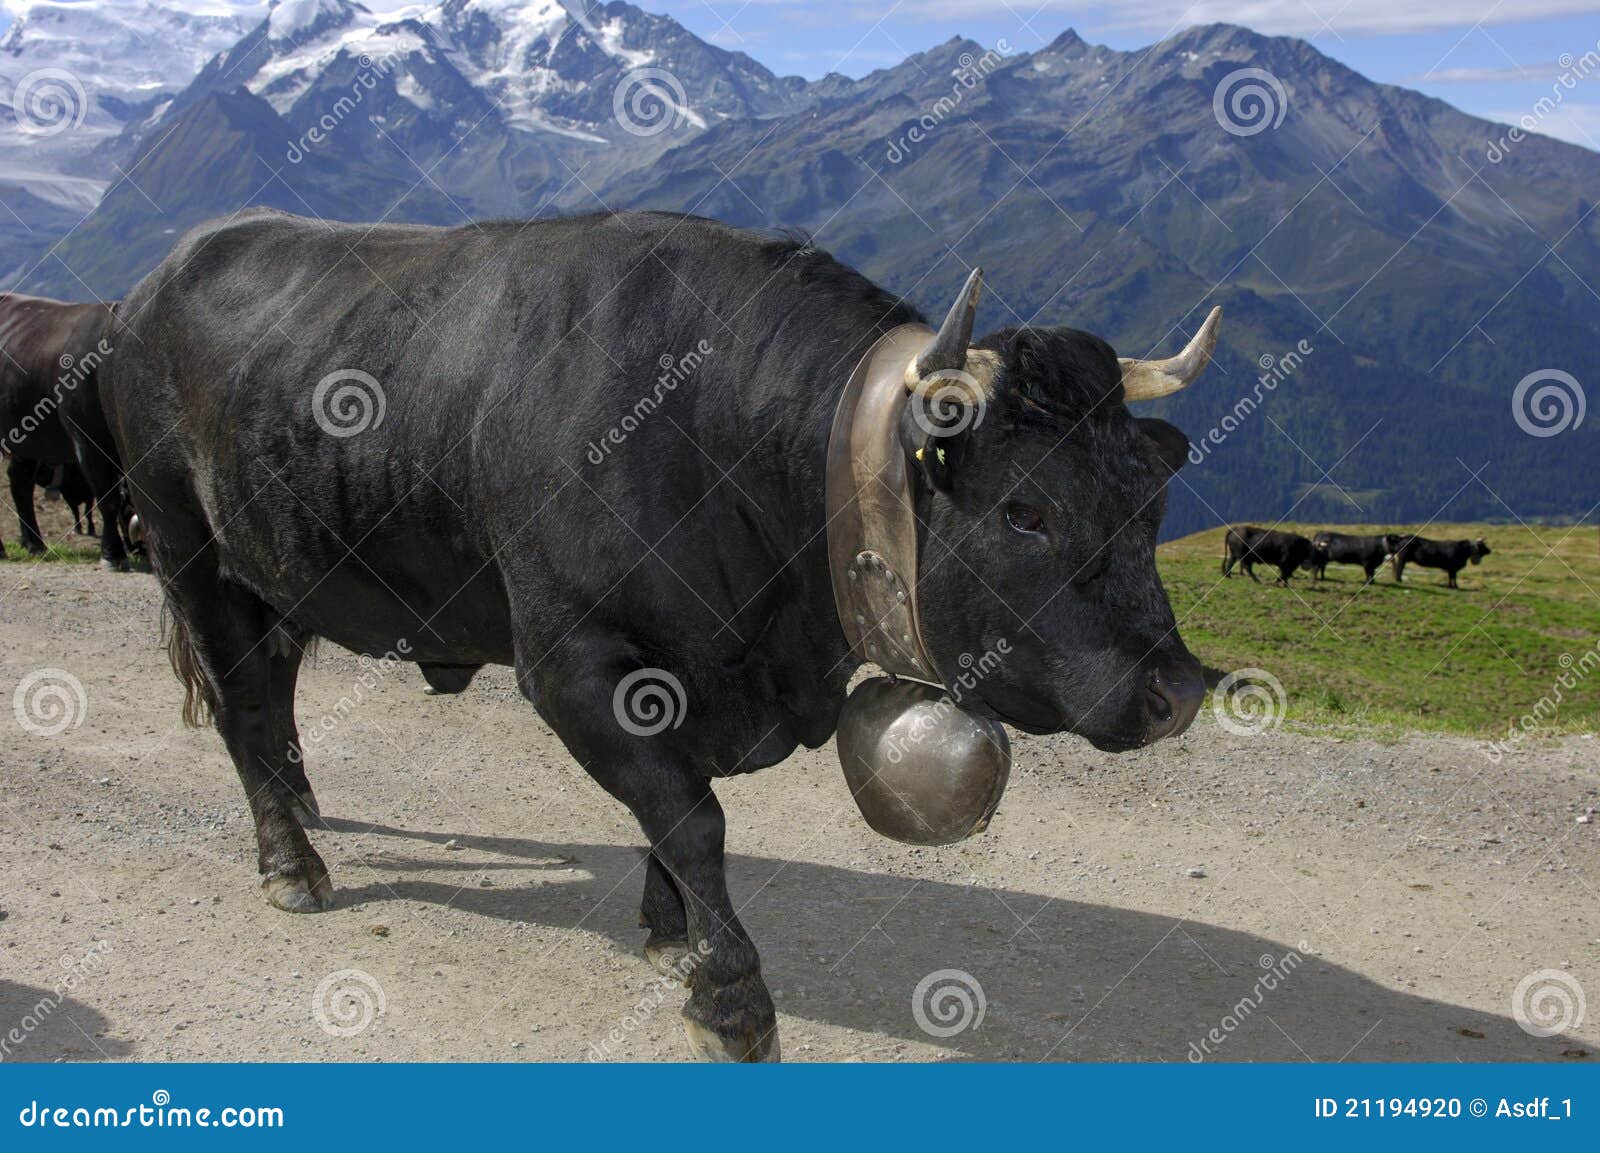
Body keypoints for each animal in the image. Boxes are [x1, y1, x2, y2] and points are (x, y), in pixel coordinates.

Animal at [0, 293, 130, 567]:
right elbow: (108, 499)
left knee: (20, 484)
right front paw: (112, 553)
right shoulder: (88, 442)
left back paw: (34, 543)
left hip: (29, 440)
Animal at [104, 208, 1221, 1062]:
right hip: (187, 548)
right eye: (1026, 510)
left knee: (276, 689)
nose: (1179, 689)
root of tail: (166, 269)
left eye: (1151, 495)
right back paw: (290, 862)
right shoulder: (574, 661)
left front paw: (670, 932)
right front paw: (730, 996)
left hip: (278, 565)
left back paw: (302, 804)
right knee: (242, 704)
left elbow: (673, 810)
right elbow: (692, 819)